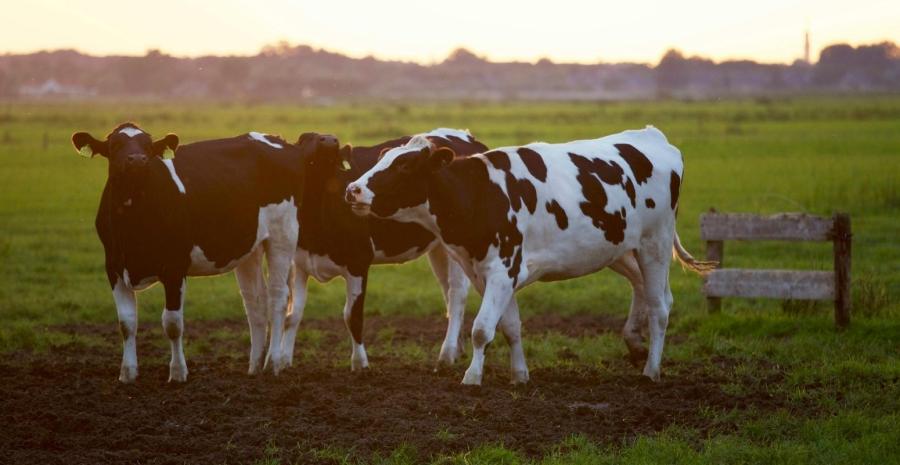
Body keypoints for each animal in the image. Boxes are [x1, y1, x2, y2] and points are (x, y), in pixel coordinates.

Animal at [71, 123, 338, 383]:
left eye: (148, 146)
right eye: (115, 145)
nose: (137, 160)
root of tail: (281, 142)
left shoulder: (174, 267)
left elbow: (172, 323)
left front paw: (178, 372)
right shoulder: (114, 267)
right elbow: (126, 322)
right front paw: (127, 373)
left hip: (283, 235)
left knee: (278, 298)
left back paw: (273, 362)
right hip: (249, 247)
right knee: (255, 302)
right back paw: (254, 366)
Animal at [281, 128, 488, 370]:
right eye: (304, 139)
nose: (331, 140)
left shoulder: (359, 261)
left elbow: (352, 316)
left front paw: (360, 364)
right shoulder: (299, 262)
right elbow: (293, 314)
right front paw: (282, 361)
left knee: (456, 295)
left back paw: (446, 354)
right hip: (440, 248)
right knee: (447, 291)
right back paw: (457, 349)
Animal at [345, 126, 714, 385]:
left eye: (405, 166)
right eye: (383, 158)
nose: (352, 189)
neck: (480, 194)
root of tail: (652, 136)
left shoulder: (502, 270)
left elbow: (481, 329)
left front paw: (472, 377)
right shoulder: (491, 274)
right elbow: (510, 327)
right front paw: (519, 375)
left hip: (655, 243)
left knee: (660, 307)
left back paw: (651, 369)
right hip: (620, 248)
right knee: (648, 291)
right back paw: (635, 345)